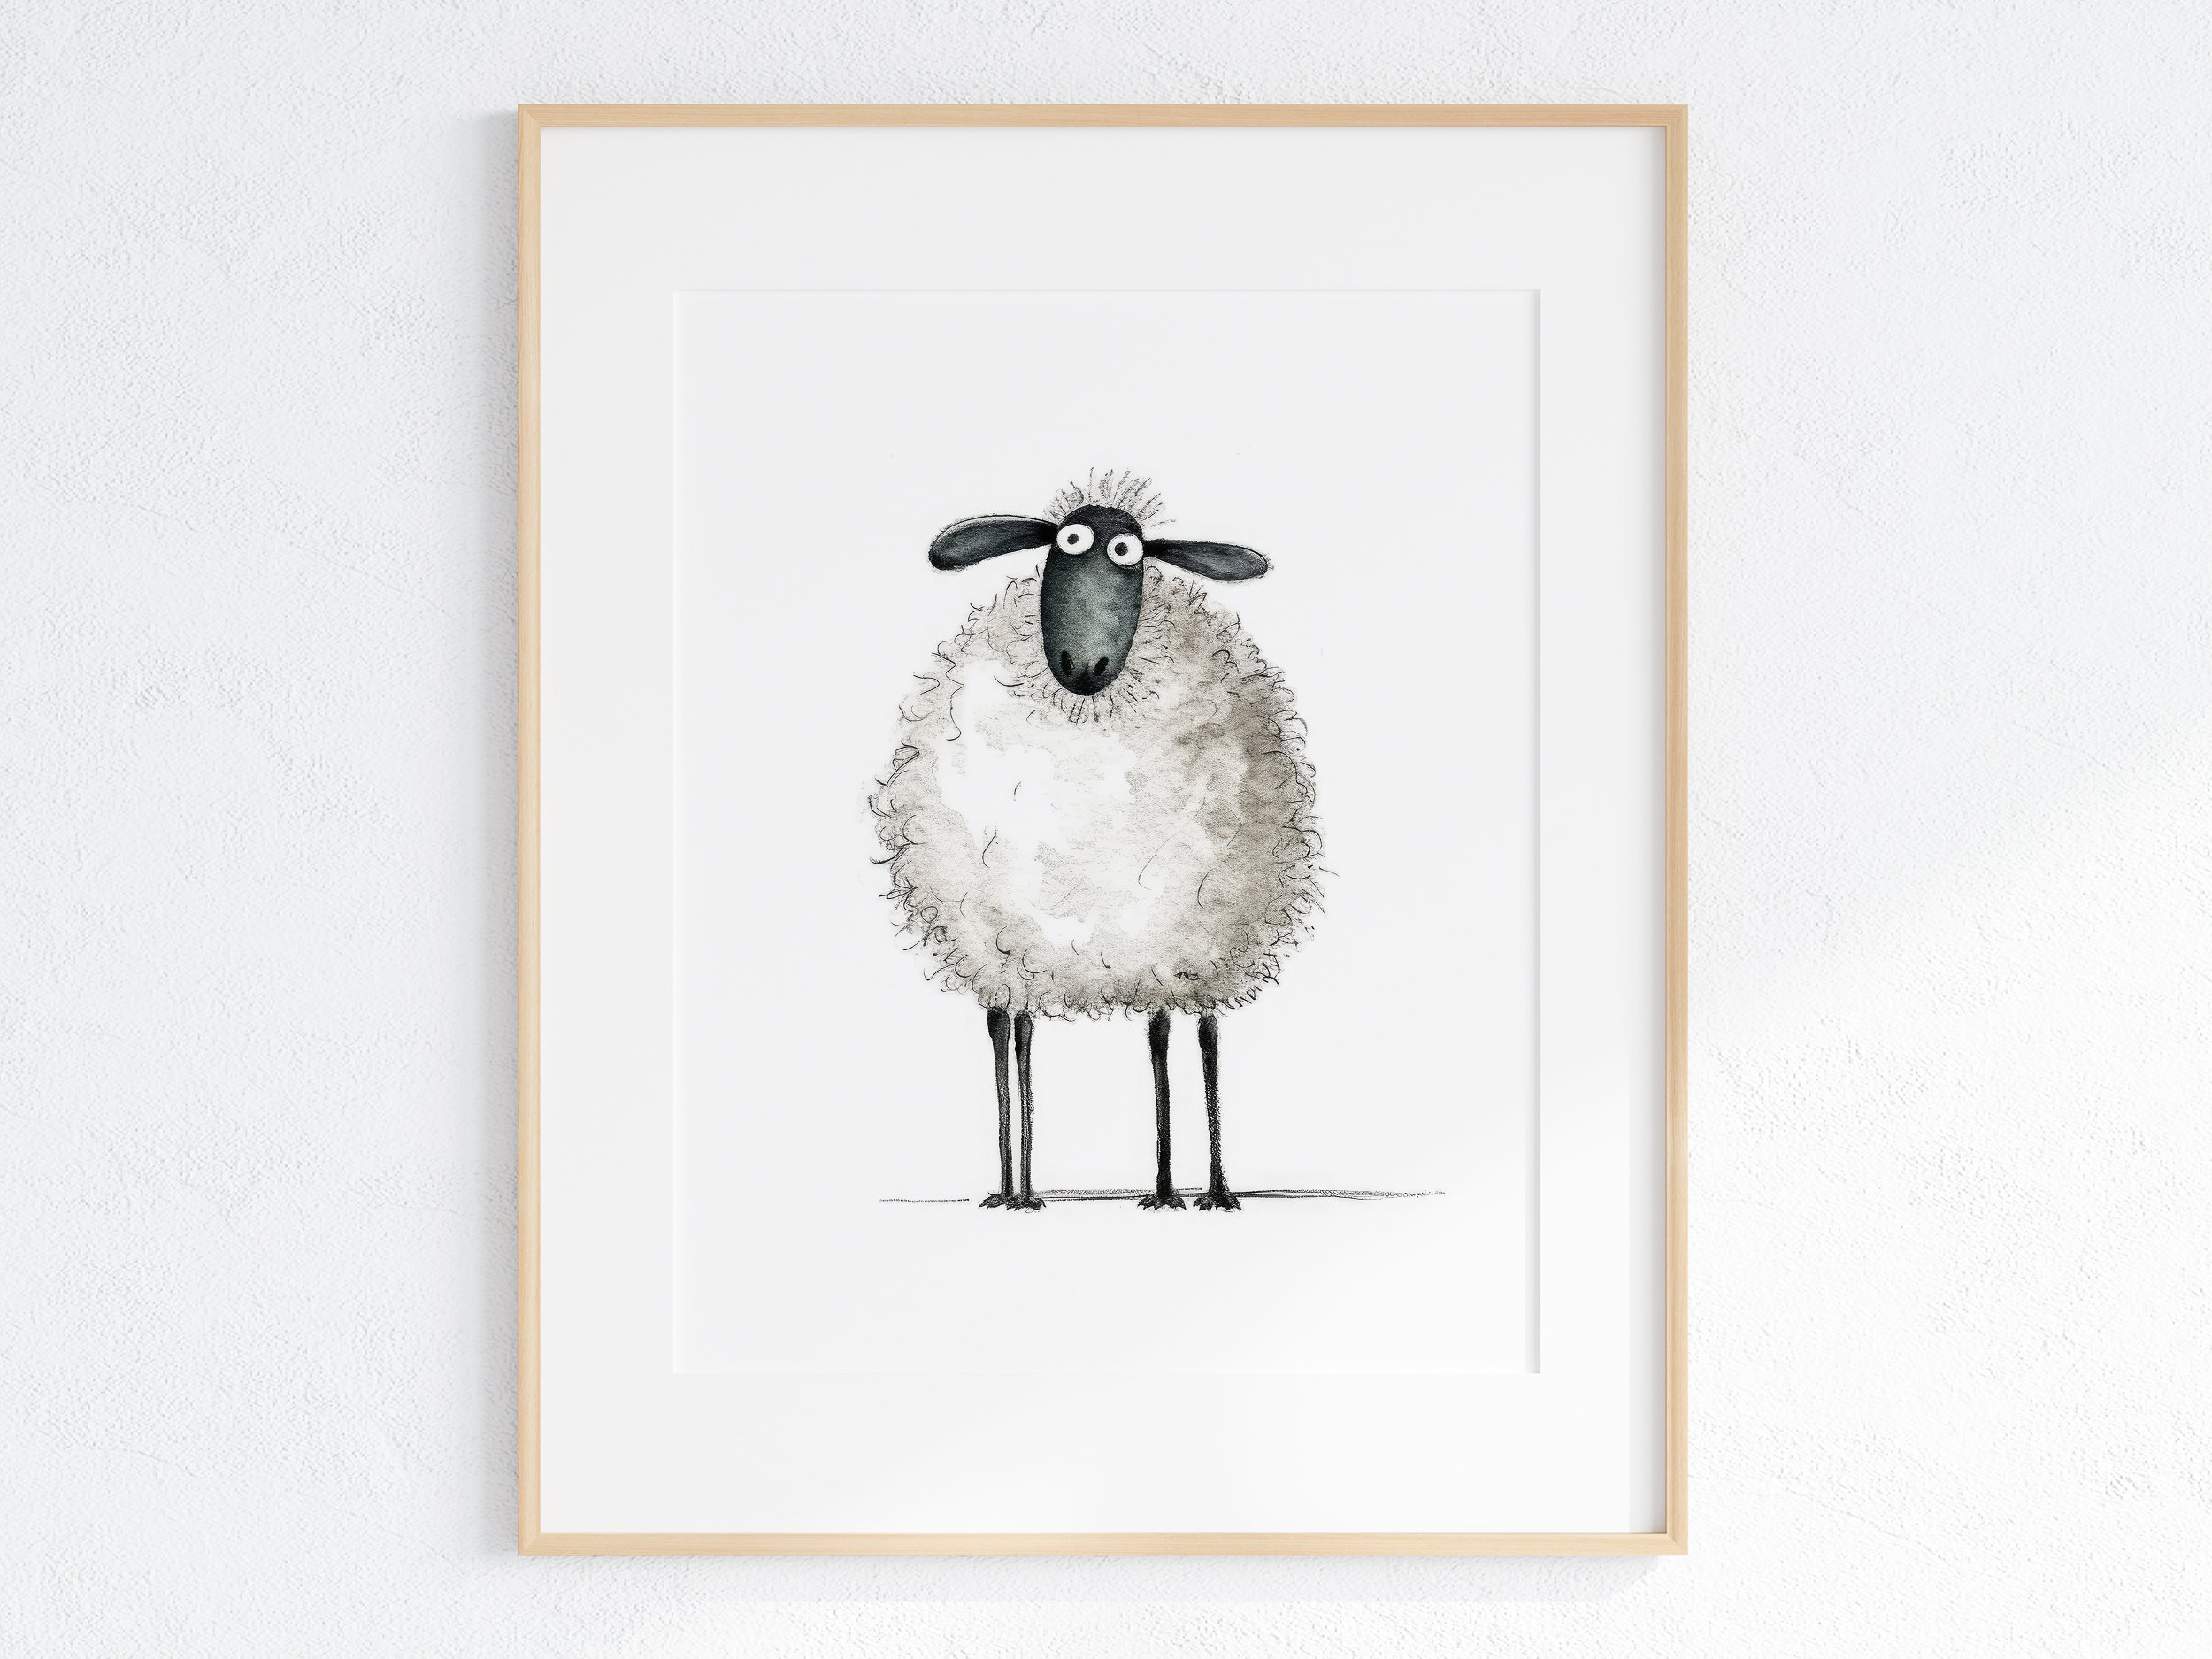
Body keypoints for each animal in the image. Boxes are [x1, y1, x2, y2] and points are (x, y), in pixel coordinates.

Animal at [871, 471, 1322, 1211]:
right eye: (1070, 542)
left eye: (1127, 552)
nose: (1083, 664)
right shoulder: (1008, 940)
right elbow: (1015, 1031)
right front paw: (1019, 1191)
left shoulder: (1182, 937)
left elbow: (1180, 1033)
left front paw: (1189, 1191)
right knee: (1013, 1028)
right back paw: (1017, 1190)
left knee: (1188, 1029)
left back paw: (1194, 1189)